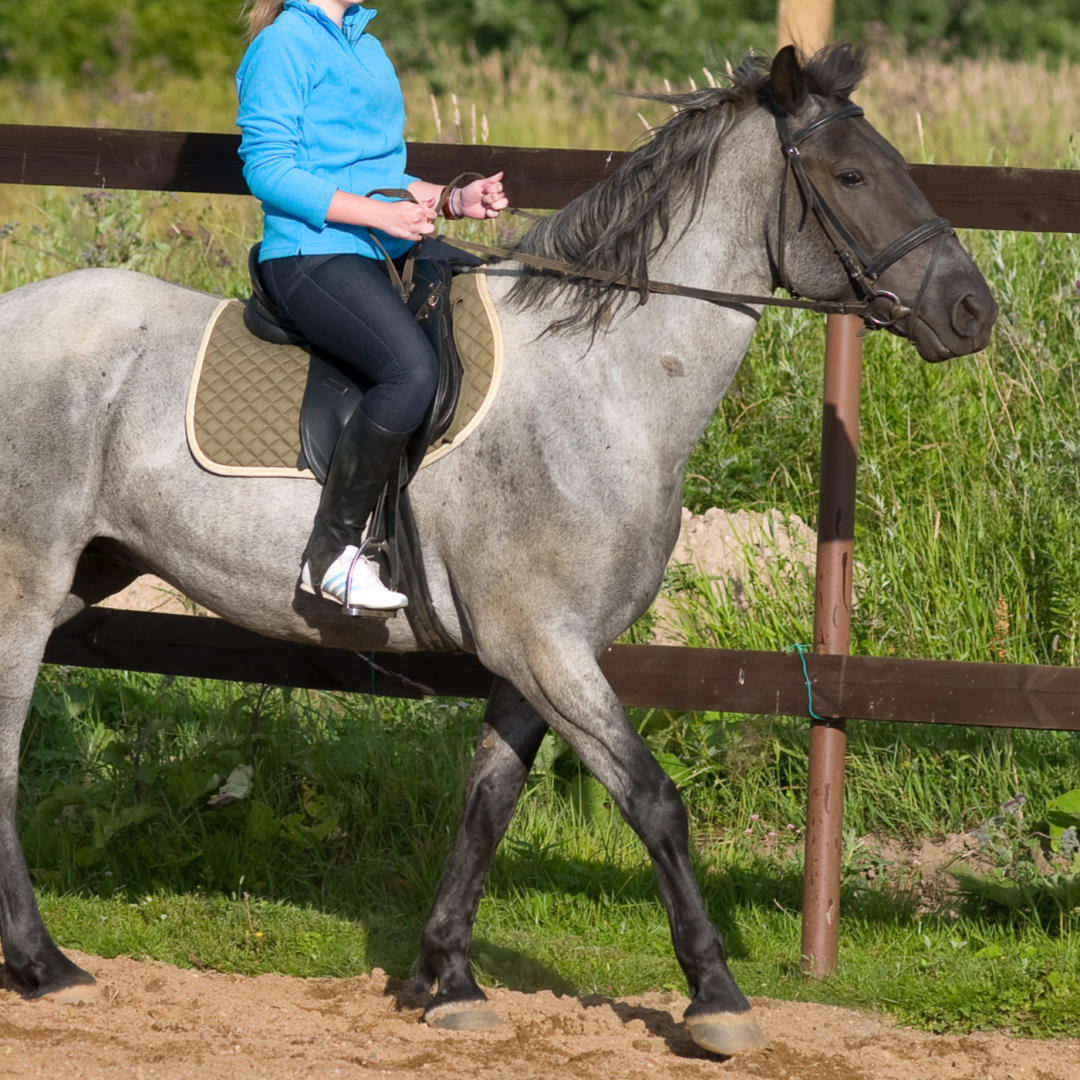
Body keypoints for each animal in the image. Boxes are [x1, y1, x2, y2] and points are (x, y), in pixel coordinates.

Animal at [0, 46, 996, 1057]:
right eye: (851, 176)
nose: (972, 311)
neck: (604, 389)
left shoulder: (536, 653)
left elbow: (488, 800)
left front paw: (446, 979)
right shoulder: (544, 645)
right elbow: (653, 800)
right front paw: (716, 997)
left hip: (90, 571)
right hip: (22, 588)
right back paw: (46, 966)